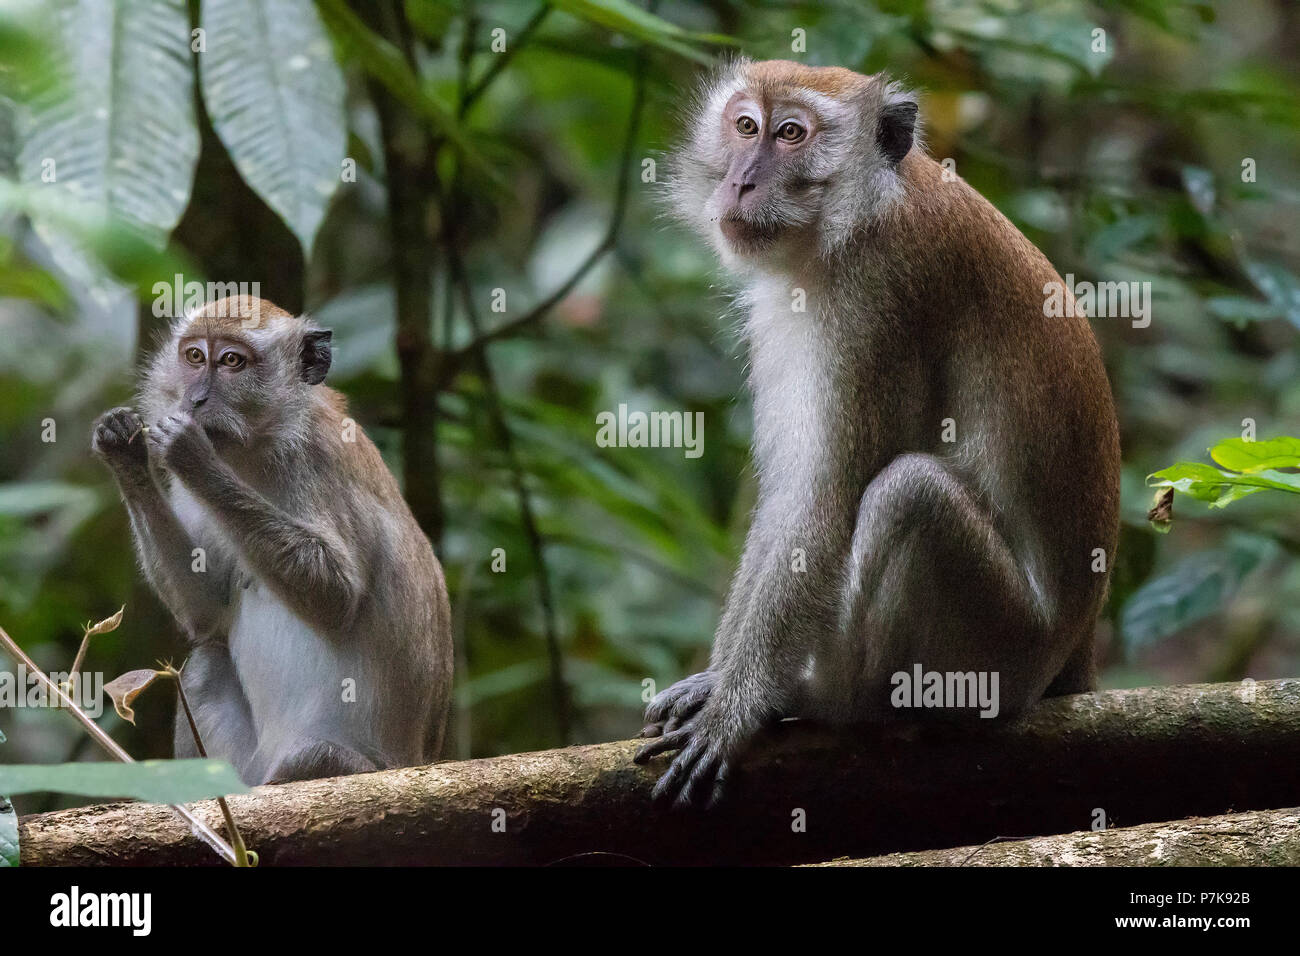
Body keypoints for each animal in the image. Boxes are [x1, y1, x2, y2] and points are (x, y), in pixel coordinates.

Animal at [91, 295, 452, 785]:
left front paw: (191, 453)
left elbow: (337, 595)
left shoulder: (318, 462)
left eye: (232, 361)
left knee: (315, 757)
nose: (196, 399)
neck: (253, 447)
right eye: (194, 356)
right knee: (207, 663)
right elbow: (207, 613)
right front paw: (124, 450)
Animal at [635, 60, 1121, 808]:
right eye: (745, 126)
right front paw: (717, 683)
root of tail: (1073, 651)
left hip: (1003, 652)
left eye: (791, 134)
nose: (741, 180)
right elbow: (788, 504)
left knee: (909, 494)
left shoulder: (878, 299)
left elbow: (825, 505)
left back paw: (834, 701)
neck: (851, 220)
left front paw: (734, 712)